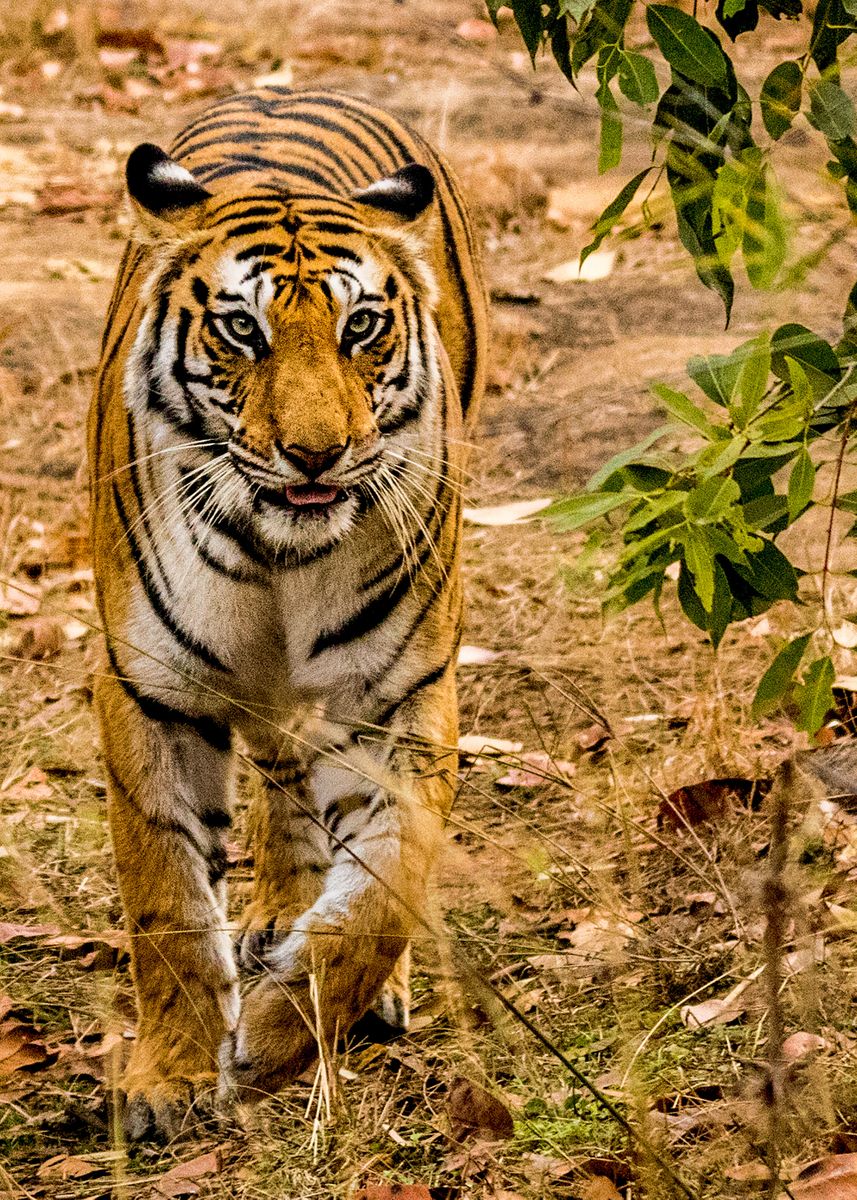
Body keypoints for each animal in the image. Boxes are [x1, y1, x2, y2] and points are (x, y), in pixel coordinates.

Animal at [88, 86, 488, 1139]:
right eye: (241, 331)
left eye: (361, 329)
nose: (316, 452)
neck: (280, 556)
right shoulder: (149, 690)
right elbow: (166, 898)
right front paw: (171, 1077)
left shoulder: (395, 698)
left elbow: (382, 894)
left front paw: (278, 1035)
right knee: (275, 767)